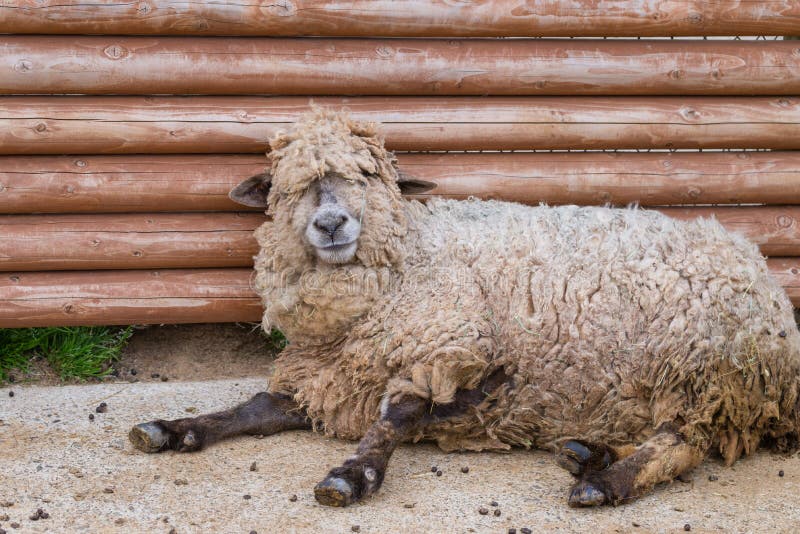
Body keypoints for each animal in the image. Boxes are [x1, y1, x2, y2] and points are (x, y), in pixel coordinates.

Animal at [129, 109, 800, 508]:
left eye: (369, 177)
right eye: (290, 187)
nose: (331, 223)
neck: (412, 259)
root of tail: (763, 276)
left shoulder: (447, 342)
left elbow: (396, 417)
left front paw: (353, 473)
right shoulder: (332, 378)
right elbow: (249, 410)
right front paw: (176, 427)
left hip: (705, 370)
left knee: (687, 441)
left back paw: (604, 481)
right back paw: (589, 453)